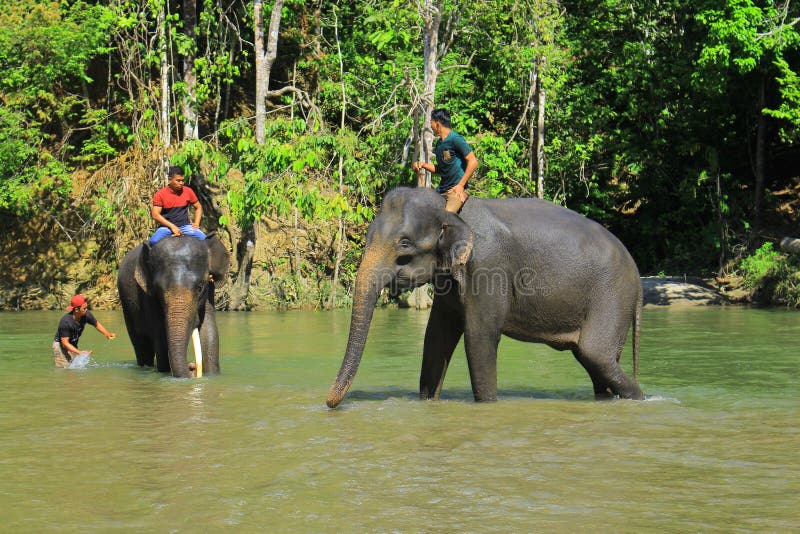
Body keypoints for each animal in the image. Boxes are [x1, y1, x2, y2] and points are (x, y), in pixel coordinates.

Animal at [117, 234, 230, 377]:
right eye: (159, 290)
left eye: (200, 287)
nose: (191, 367)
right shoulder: (148, 296)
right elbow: (160, 338)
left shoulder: (209, 292)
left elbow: (209, 331)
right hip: (127, 306)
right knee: (141, 346)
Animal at [327, 187, 644, 407]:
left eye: (404, 243)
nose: (329, 403)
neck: (449, 209)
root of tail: (637, 273)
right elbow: (436, 337)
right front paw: (428, 402)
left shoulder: (488, 268)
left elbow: (479, 338)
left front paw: (488, 404)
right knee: (596, 364)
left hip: (612, 295)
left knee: (595, 355)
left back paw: (641, 399)